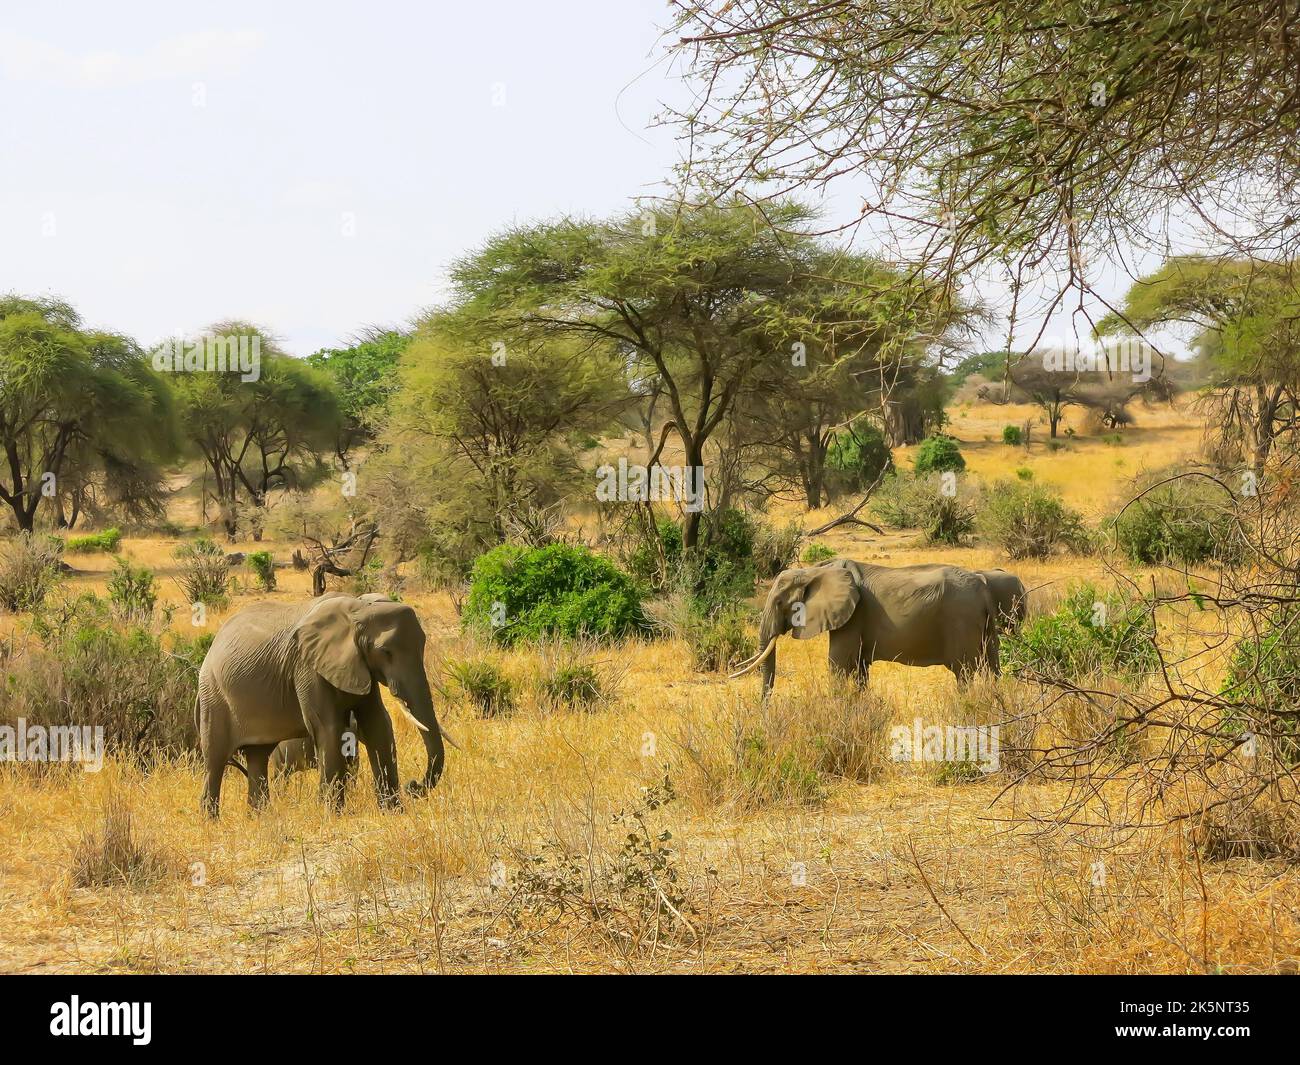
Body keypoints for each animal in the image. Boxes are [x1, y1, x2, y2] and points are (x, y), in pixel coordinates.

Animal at [197, 592, 449, 816]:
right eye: (385, 652)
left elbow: (377, 725)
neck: (358, 607)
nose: (414, 786)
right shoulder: (307, 666)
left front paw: (394, 812)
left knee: (258, 756)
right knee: (215, 759)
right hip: (213, 694)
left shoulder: (359, 665)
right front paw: (333, 815)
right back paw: (212, 821)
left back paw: (260, 818)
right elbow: (329, 728)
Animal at [730, 559, 999, 694]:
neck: (814, 570)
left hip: (961, 621)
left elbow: (838, 664)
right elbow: (859, 669)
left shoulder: (853, 614)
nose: (765, 713)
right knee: (991, 668)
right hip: (985, 625)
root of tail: (984, 587)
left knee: (964, 672)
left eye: (779, 602)